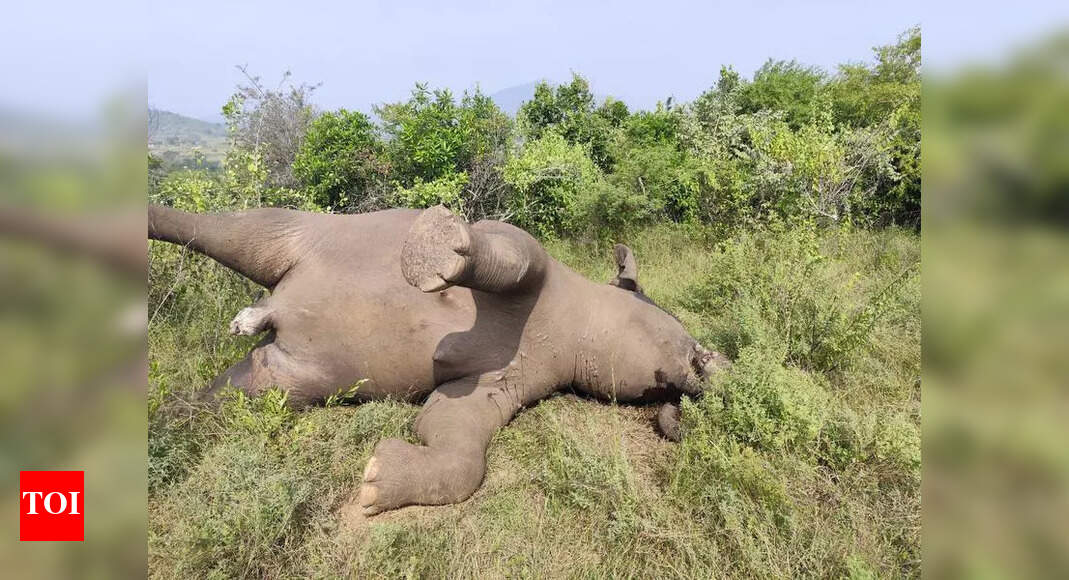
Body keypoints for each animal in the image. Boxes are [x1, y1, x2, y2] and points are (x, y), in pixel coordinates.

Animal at [148, 204, 730, 515]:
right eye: (695, 347)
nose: (720, 367)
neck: (577, 324)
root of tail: (275, 310)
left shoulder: (500, 384)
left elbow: (457, 448)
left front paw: (383, 481)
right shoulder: (533, 258)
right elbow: (509, 253)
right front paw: (445, 247)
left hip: (273, 381)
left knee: (203, 404)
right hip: (288, 231)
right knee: (210, 227)